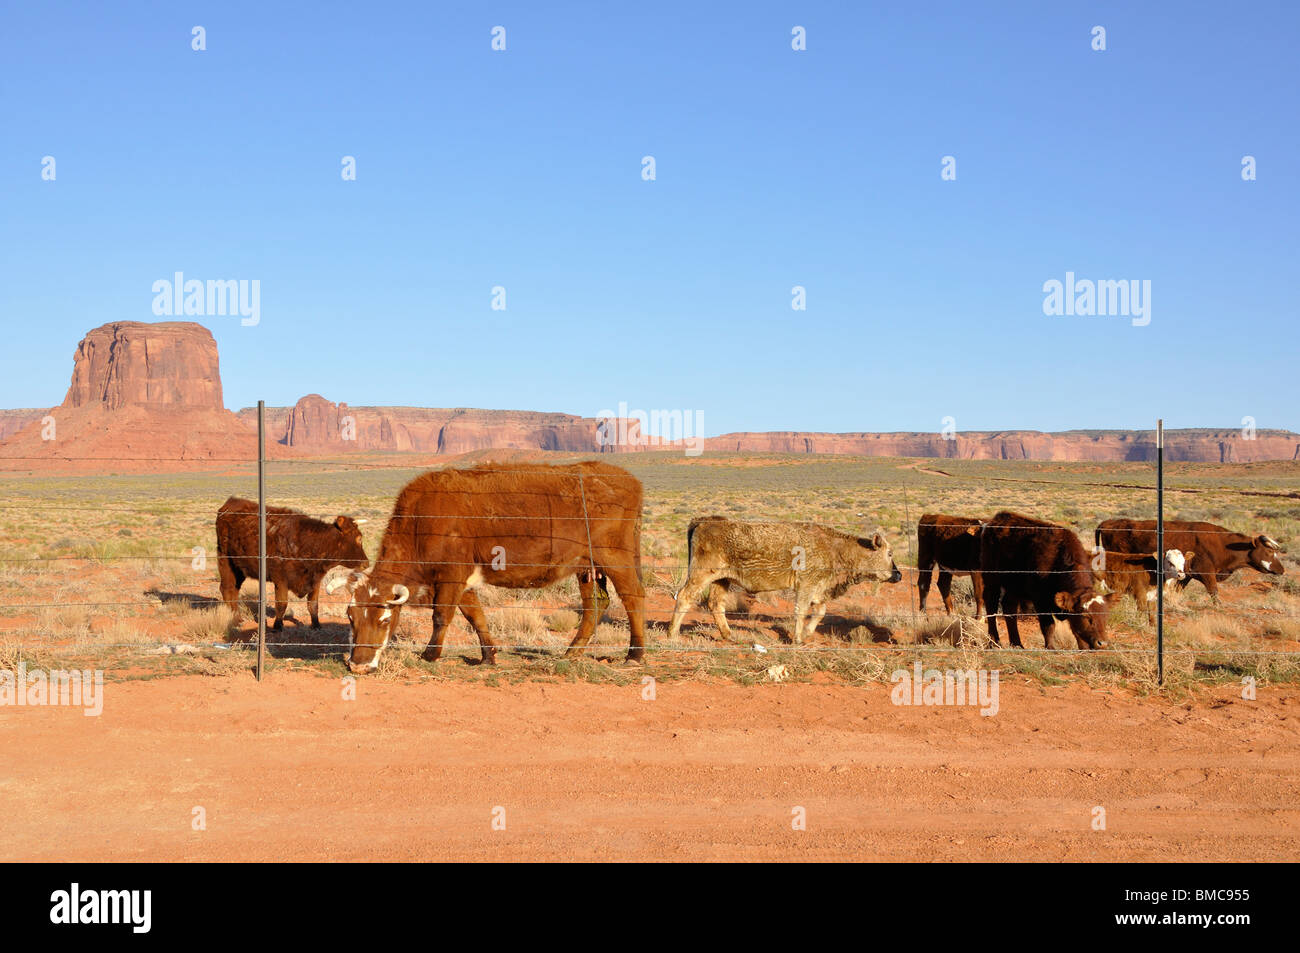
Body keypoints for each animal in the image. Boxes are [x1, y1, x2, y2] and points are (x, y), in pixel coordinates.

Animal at [215, 497, 369, 630]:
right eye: (359, 539)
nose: (366, 563)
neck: (307, 543)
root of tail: (229, 504)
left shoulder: (315, 579)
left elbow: (313, 604)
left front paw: (316, 625)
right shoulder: (280, 579)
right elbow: (282, 603)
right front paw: (278, 626)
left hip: (239, 568)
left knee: (234, 590)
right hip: (225, 560)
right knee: (227, 589)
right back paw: (235, 620)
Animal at [327, 461, 645, 673]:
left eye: (383, 620)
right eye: (351, 617)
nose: (358, 666)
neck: (421, 520)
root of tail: (628, 479)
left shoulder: (451, 576)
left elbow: (441, 616)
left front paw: (430, 654)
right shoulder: (463, 581)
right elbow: (475, 616)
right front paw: (488, 656)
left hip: (617, 559)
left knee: (633, 598)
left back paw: (635, 654)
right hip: (586, 568)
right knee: (595, 605)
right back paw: (571, 653)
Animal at [667, 517, 902, 644]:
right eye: (889, 553)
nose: (898, 574)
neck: (836, 549)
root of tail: (702, 521)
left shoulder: (819, 589)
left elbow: (820, 611)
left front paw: (806, 633)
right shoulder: (806, 585)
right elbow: (801, 611)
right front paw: (797, 638)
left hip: (722, 580)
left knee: (715, 603)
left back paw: (728, 635)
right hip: (701, 575)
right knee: (685, 596)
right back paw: (672, 634)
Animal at [979, 511, 1108, 649]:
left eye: (1105, 615)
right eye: (1085, 616)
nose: (1102, 643)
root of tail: (994, 522)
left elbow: (1077, 632)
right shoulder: (1040, 600)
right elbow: (1048, 625)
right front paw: (1050, 647)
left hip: (1014, 586)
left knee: (1009, 606)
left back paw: (1017, 644)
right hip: (992, 579)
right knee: (991, 603)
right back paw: (994, 642)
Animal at [1096, 519, 1285, 599]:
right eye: (1269, 551)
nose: (1281, 569)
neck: (1222, 544)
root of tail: (1107, 523)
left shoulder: (1186, 575)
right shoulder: (1208, 575)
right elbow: (1214, 594)